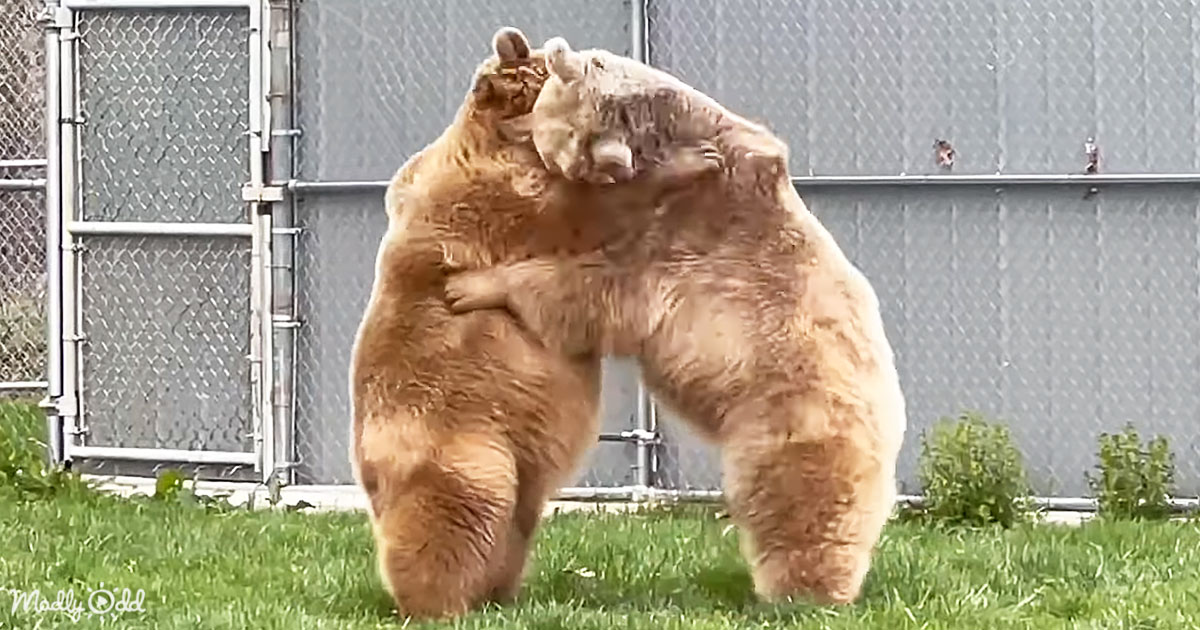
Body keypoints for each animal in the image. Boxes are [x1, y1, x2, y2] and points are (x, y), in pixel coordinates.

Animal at [444, 36, 908, 606]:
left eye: (562, 150)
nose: (552, 167)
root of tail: (891, 413)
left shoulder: (678, 242)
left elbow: (589, 289)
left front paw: (472, 285)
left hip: (793, 412)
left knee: (797, 500)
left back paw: (802, 589)